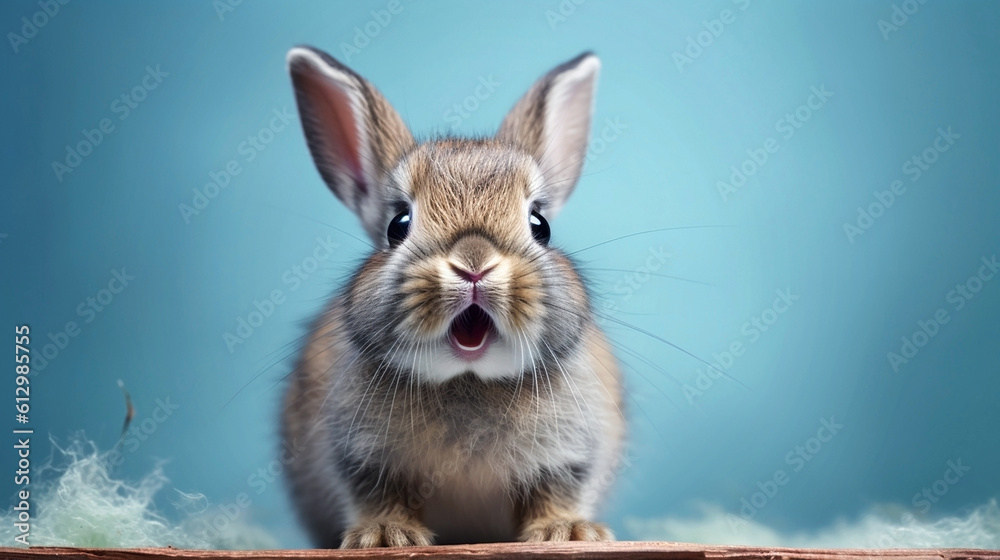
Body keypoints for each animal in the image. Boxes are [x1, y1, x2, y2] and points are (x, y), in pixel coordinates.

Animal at [280, 45, 625, 549]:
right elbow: (378, 496)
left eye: (540, 225)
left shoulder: (570, 455)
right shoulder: (359, 458)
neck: (468, 380)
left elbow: (555, 491)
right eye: (398, 225)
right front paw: (386, 535)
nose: (473, 264)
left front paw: (566, 532)